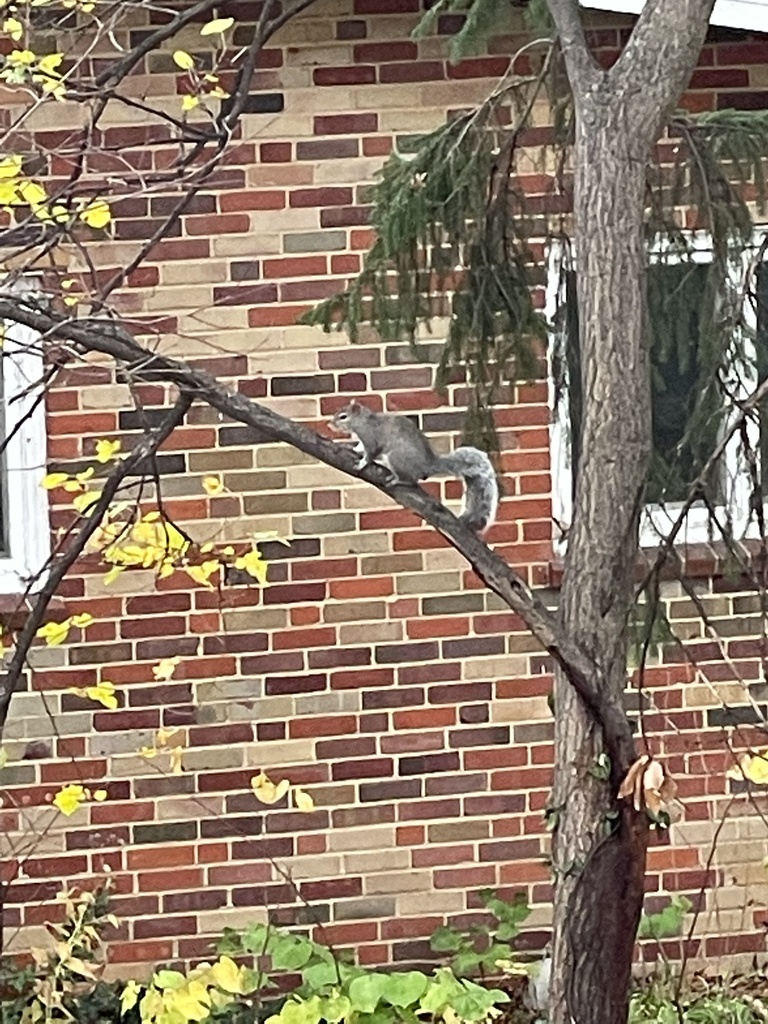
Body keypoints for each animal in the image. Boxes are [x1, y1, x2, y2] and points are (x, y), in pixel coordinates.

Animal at [331, 401, 498, 533]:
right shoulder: (363, 442)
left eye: (343, 416)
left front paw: (361, 463)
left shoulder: (371, 439)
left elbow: (370, 454)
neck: (363, 422)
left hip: (397, 458)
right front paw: (348, 447)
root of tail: (426, 465)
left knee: (411, 480)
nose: (329, 424)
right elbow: (359, 448)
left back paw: (397, 480)